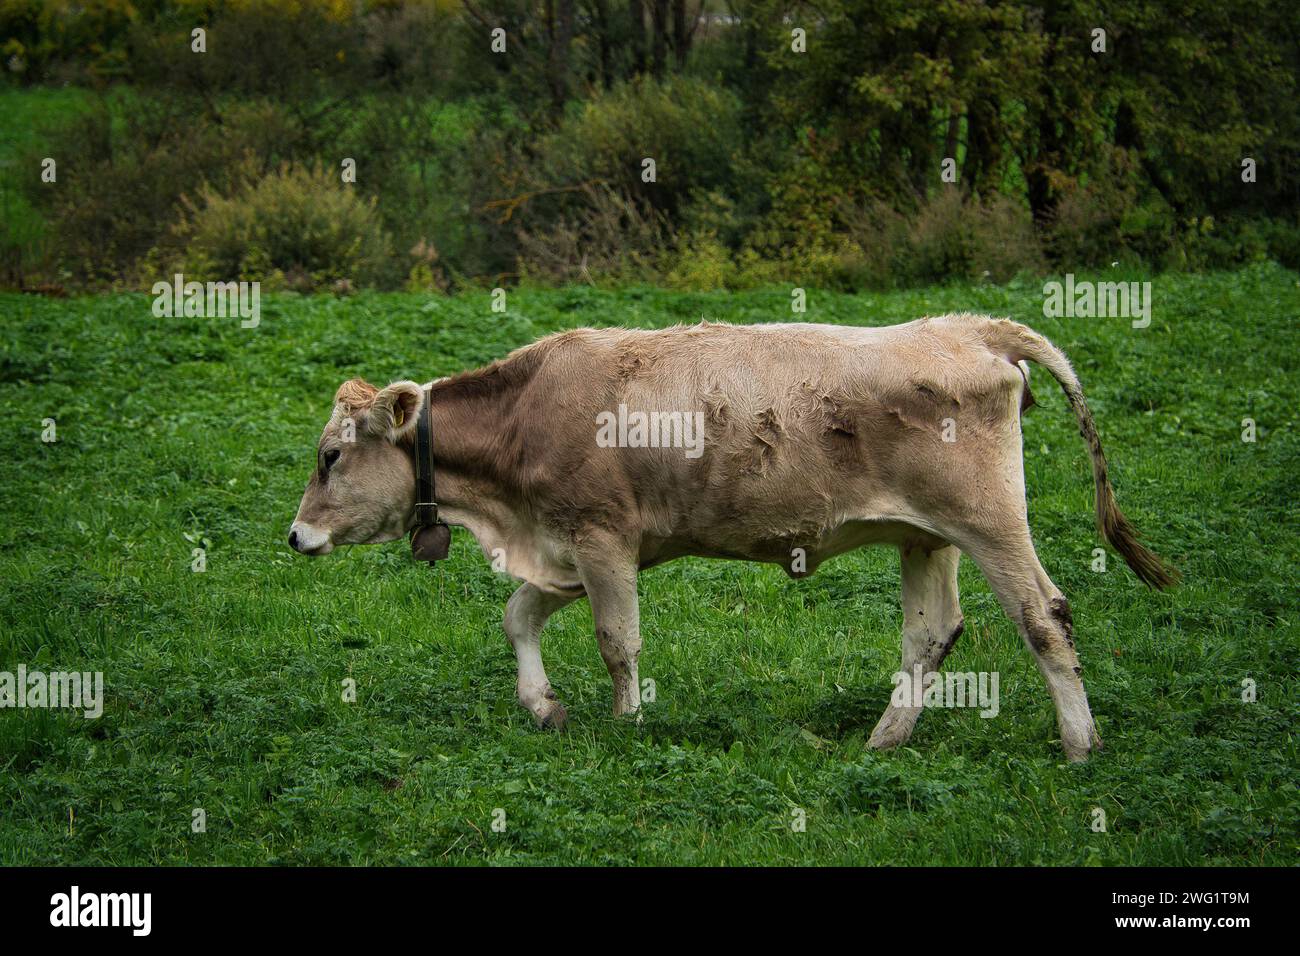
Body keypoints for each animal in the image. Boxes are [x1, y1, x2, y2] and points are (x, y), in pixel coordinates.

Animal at [288, 315, 1176, 761]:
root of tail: (970, 325)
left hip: (991, 522)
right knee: (931, 634)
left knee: (1044, 617)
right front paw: (543, 706)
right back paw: (883, 739)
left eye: (331, 456)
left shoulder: (603, 539)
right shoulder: (565, 549)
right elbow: (518, 616)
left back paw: (1080, 744)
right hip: (927, 535)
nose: (295, 537)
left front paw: (627, 728)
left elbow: (617, 642)